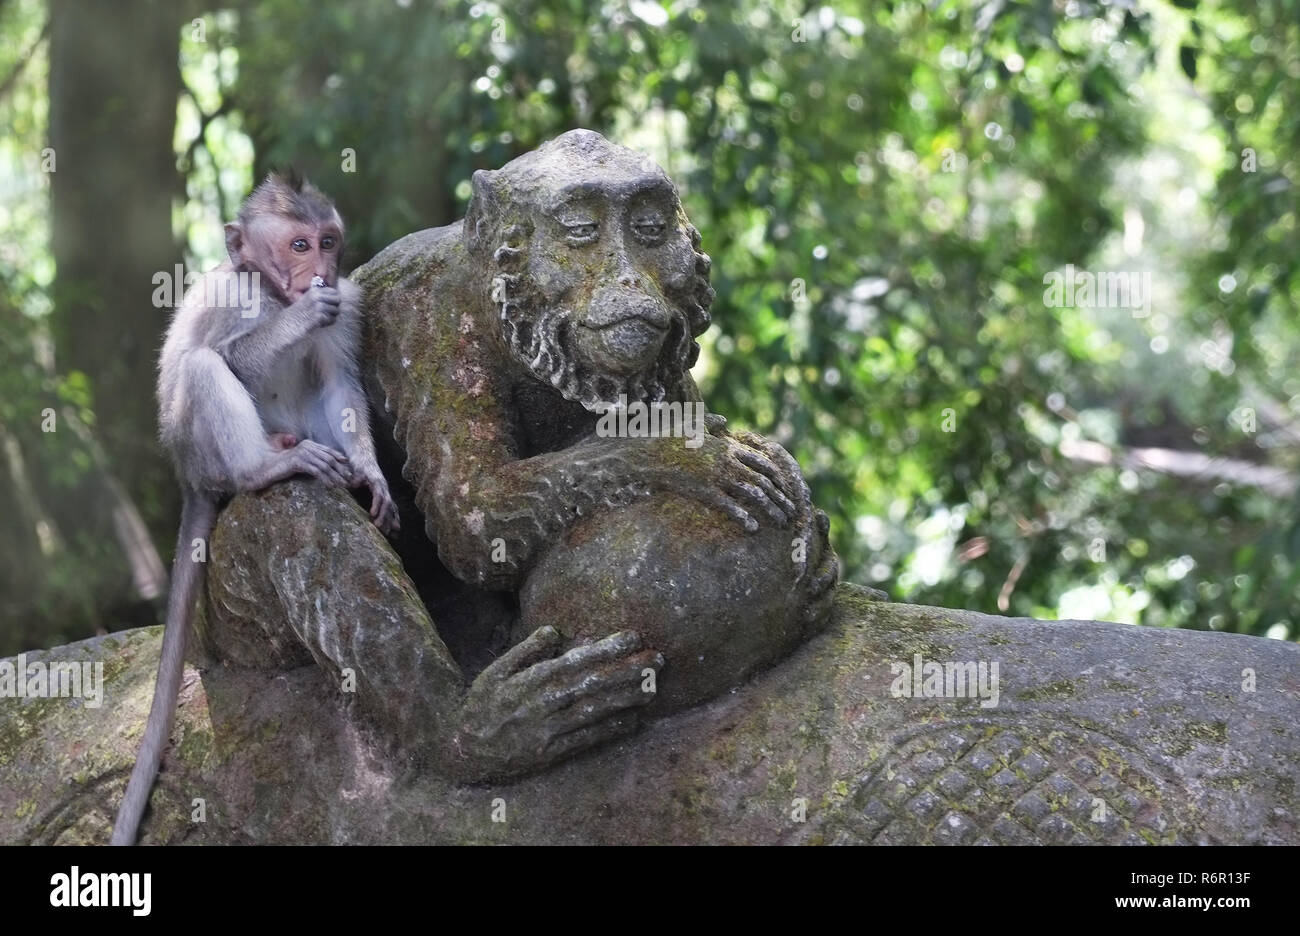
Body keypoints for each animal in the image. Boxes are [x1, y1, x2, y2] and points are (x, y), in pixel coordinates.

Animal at [110, 173, 398, 845]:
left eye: (327, 241)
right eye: (298, 244)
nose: (318, 270)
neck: (270, 291)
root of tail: (190, 479)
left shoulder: (348, 298)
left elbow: (338, 380)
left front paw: (373, 473)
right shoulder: (235, 295)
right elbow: (233, 357)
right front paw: (297, 319)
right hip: (200, 453)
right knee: (203, 365)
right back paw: (263, 468)